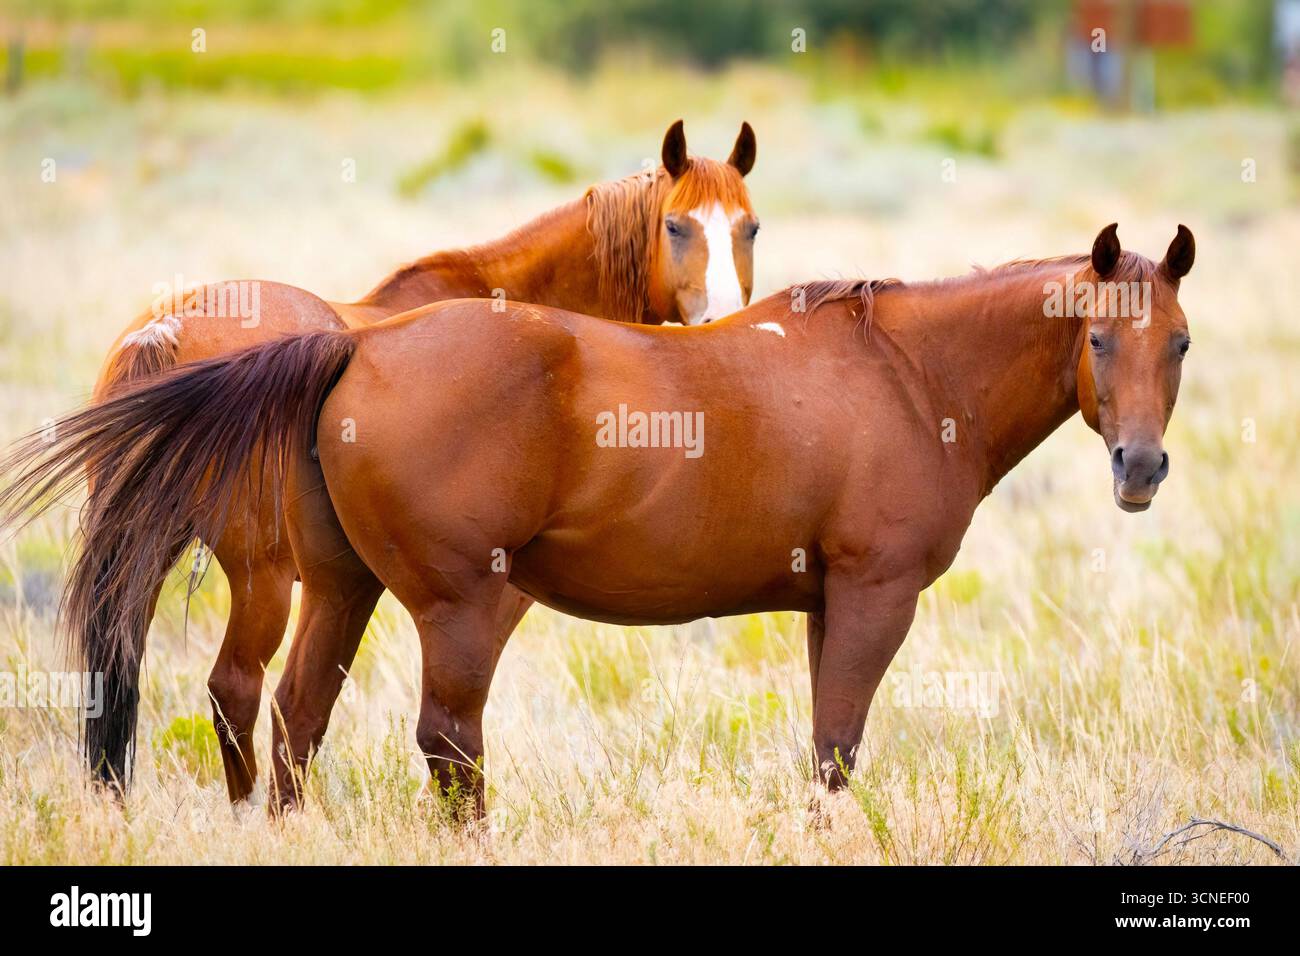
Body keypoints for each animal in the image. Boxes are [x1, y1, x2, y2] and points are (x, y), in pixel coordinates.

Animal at [0, 223, 1194, 817]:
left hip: (342, 588)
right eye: (1096, 338)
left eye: (1177, 340)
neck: (903, 373)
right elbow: (836, 749)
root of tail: (356, 343)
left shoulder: (827, 604)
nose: (1139, 468)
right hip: (454, 608)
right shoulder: (872, 597)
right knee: (444, 742)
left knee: (294, 721)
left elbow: (825, 748)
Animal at [80, 119, 760, 802]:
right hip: (260, 574)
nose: (724, 321)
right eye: (675, 225)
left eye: (749, 227)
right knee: (235, 687)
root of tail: (167, 330)